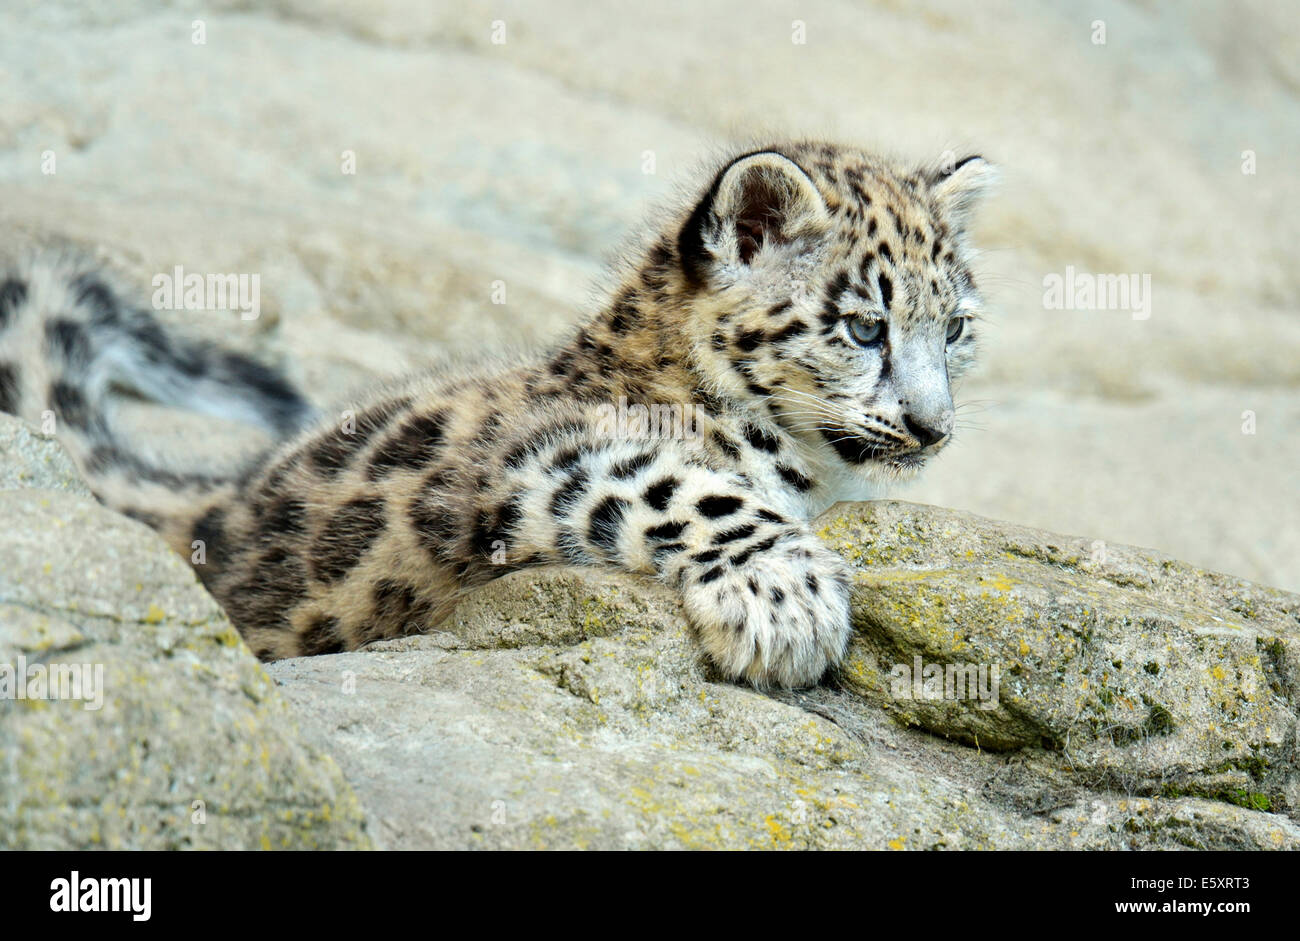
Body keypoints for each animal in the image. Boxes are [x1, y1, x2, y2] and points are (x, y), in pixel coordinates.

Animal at [0, 141, 995, 687]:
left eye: (954, 327)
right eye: (864, 325)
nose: (934, 427)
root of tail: (211, 503)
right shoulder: (542, 458)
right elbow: (687, 488)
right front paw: (785, 600)